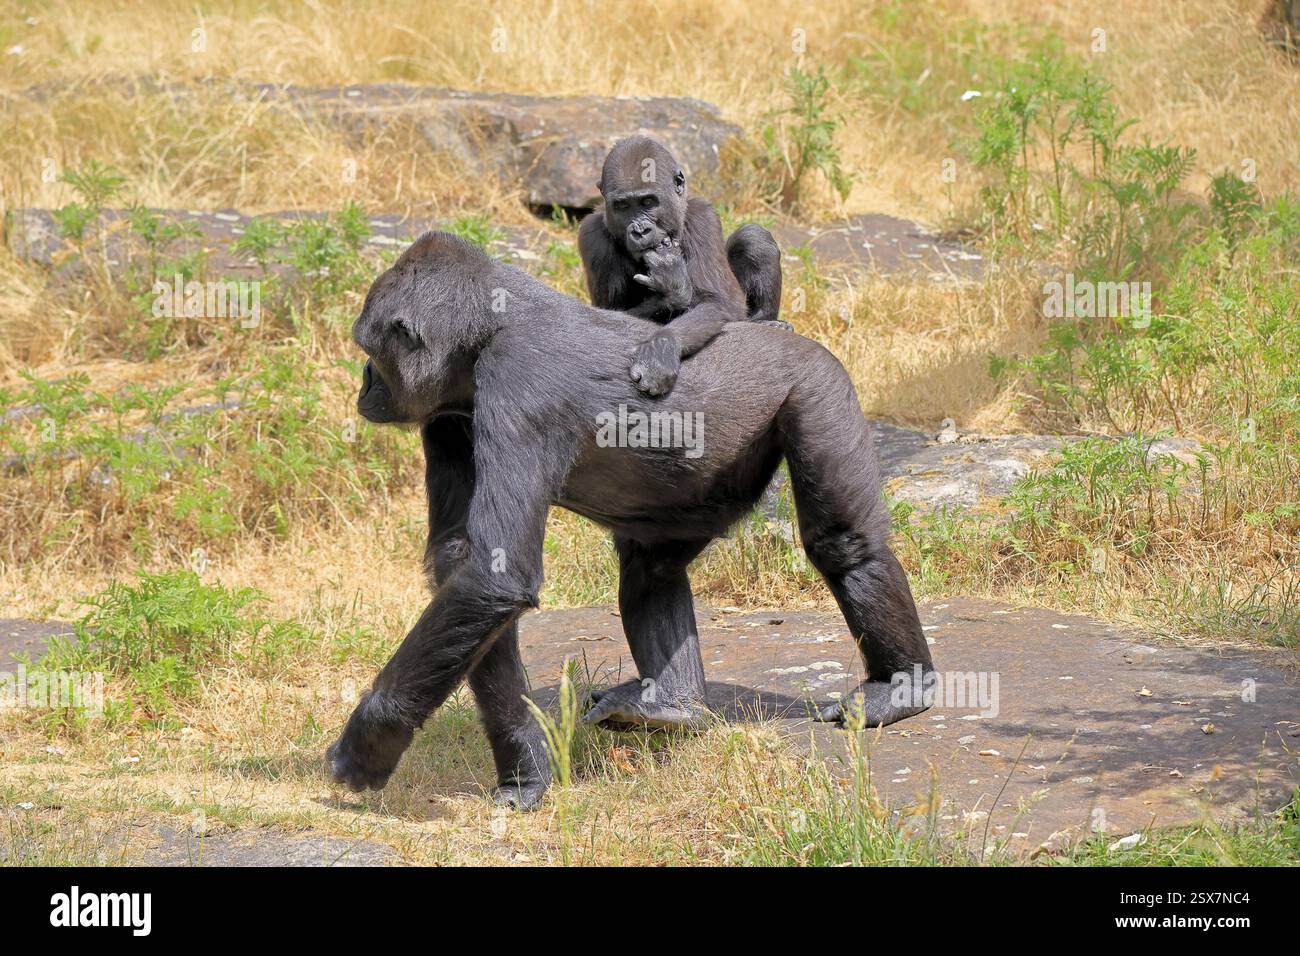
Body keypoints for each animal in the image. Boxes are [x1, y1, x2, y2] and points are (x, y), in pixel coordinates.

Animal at [326, 231, 935, 810]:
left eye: (370, 352)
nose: (363, 382)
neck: (487, 330)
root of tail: (786, 332)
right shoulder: (448, 410)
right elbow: (464, 567)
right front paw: (524, 768)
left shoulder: (514, 378)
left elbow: (496, 574)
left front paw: (371, 741)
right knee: (651, 572)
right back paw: (675, 705)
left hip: (815, 380)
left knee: (844, 544)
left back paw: (899, 685)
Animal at [577, 136, 785, 397]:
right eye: (622, 206)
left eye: (648, 202)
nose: (640, 231)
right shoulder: (591, 235)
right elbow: (607, 318)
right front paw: (673, 292)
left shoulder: (703, 216)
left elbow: (716, 301)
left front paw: (663, 346)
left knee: (753, 238)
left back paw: (766, 321)